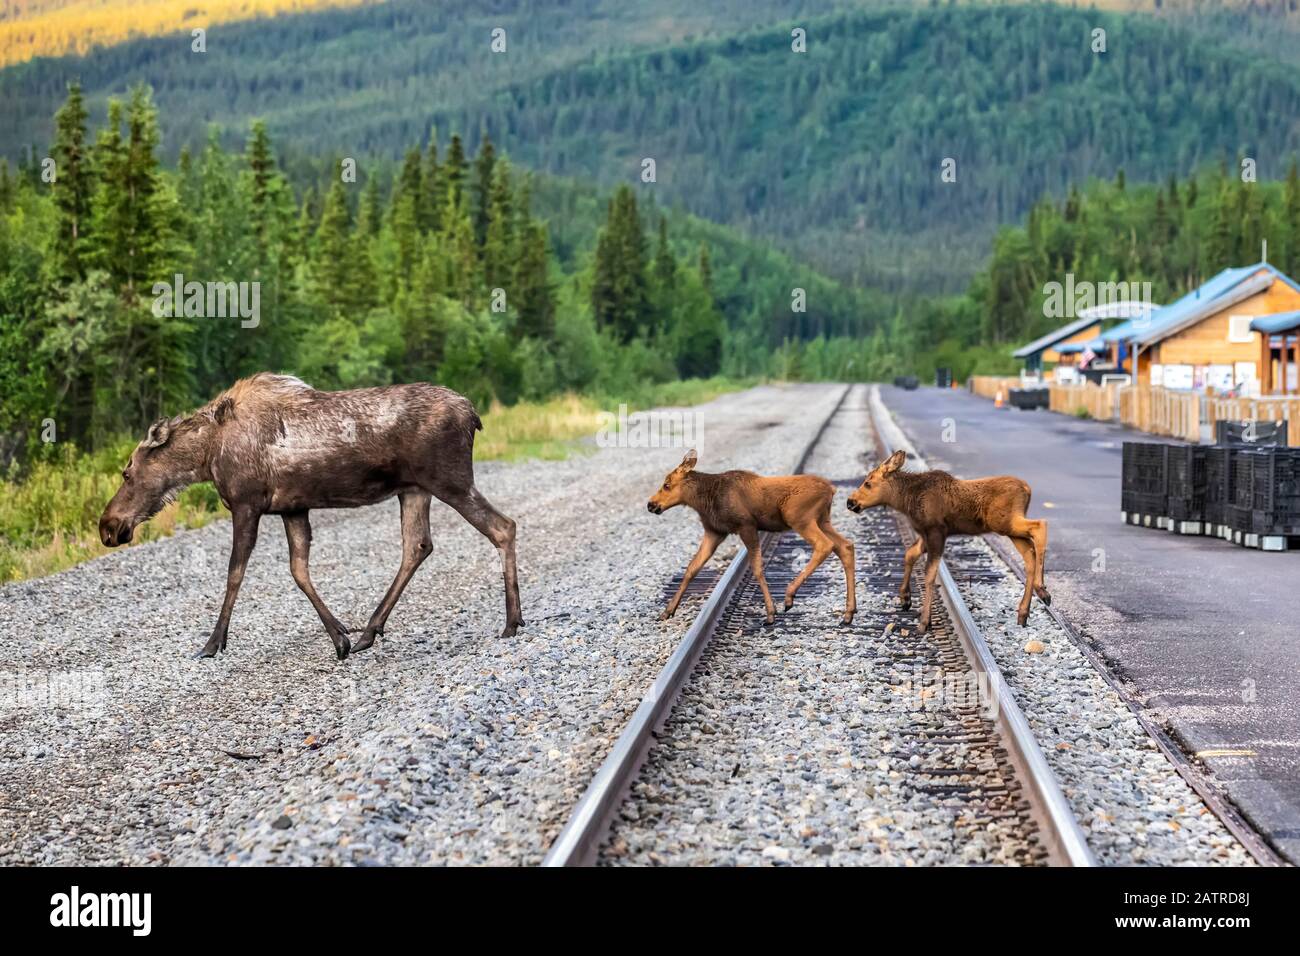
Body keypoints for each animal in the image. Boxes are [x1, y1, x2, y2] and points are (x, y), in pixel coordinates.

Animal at [98, 373, 524, 660]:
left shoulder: (247, 503)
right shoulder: (292, 507)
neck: (205, 457)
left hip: (448, 480)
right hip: (414, 489)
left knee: (503, 527)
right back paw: (370, 631)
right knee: (418, 545)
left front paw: (212, 643)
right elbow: (298, 569)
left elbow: (235, 573)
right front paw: (340, 635)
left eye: (126, 472)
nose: (108, 527)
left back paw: (511, 622)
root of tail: (473, 415)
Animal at [647, 449, 856, 626]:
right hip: (822, 520)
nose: (651, 504)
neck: (703, 501)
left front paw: (770, 613)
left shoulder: (746, 526)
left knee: (825, 545)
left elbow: (757, 569)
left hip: (799, 518)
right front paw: (667, 611)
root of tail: (831, 489)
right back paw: (848, 613)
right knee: (845, 546)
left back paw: (789, 596)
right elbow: (692, 569)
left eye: (667, 485)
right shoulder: (714, 532)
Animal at [846, 449, 1049, 632]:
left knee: (1040, 525)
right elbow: (909, 554)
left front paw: (924, 621)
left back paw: (1042, 589)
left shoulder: (936, 532)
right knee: (1030, 554)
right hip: (1009, 529)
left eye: (868, 483)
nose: (850, 502)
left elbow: (929, 574)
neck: (907, 500)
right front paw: (905, 598)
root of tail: (1028, 489)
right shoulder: (925, 535)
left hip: (1004, 522)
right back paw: (1023, 612)